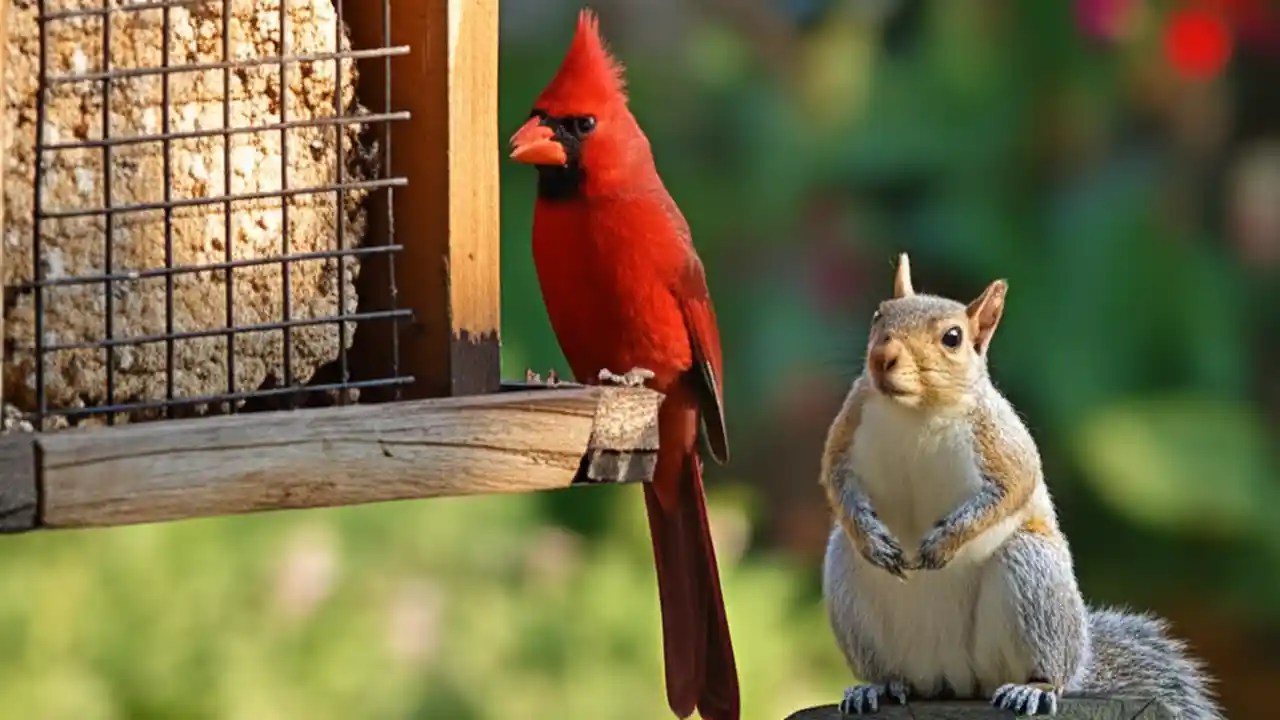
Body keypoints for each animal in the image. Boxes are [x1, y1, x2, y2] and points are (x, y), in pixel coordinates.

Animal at [819, 254, 1221, 718]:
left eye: (953, 337)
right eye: (878, 315)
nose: (882, 356)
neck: (915, 411)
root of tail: (952, 679)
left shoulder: (1001, 442)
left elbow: (1012, 486)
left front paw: (944, 542)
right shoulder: (850, 423)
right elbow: (834, 479)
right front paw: (871, 536)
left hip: (1033, 577)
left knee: (1046, 667)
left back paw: (1033, 689)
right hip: (849, 586)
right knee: (888, 667)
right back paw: (876, 688)